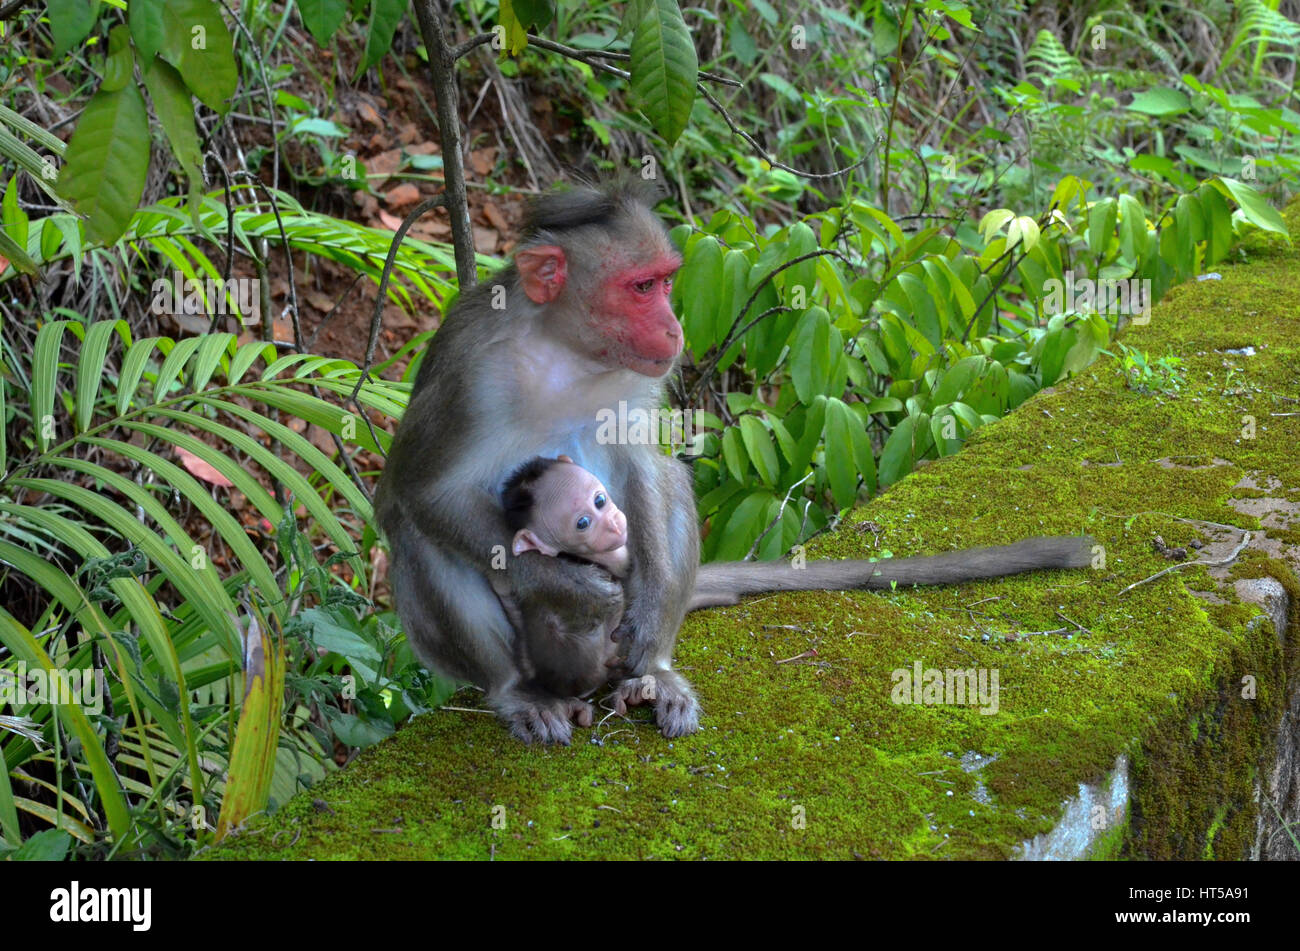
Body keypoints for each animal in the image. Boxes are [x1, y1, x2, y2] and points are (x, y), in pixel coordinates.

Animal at [374, 181, 1095, 746]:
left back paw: (652, 670)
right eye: (641, 287)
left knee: (668, 480)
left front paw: (643, 604)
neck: (566, 347)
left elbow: (642, 461)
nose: (675, 327)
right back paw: (518, 691)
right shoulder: (471, 367)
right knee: (422, 541)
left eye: (667, 281)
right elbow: (419, 491)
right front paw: (562, 584)